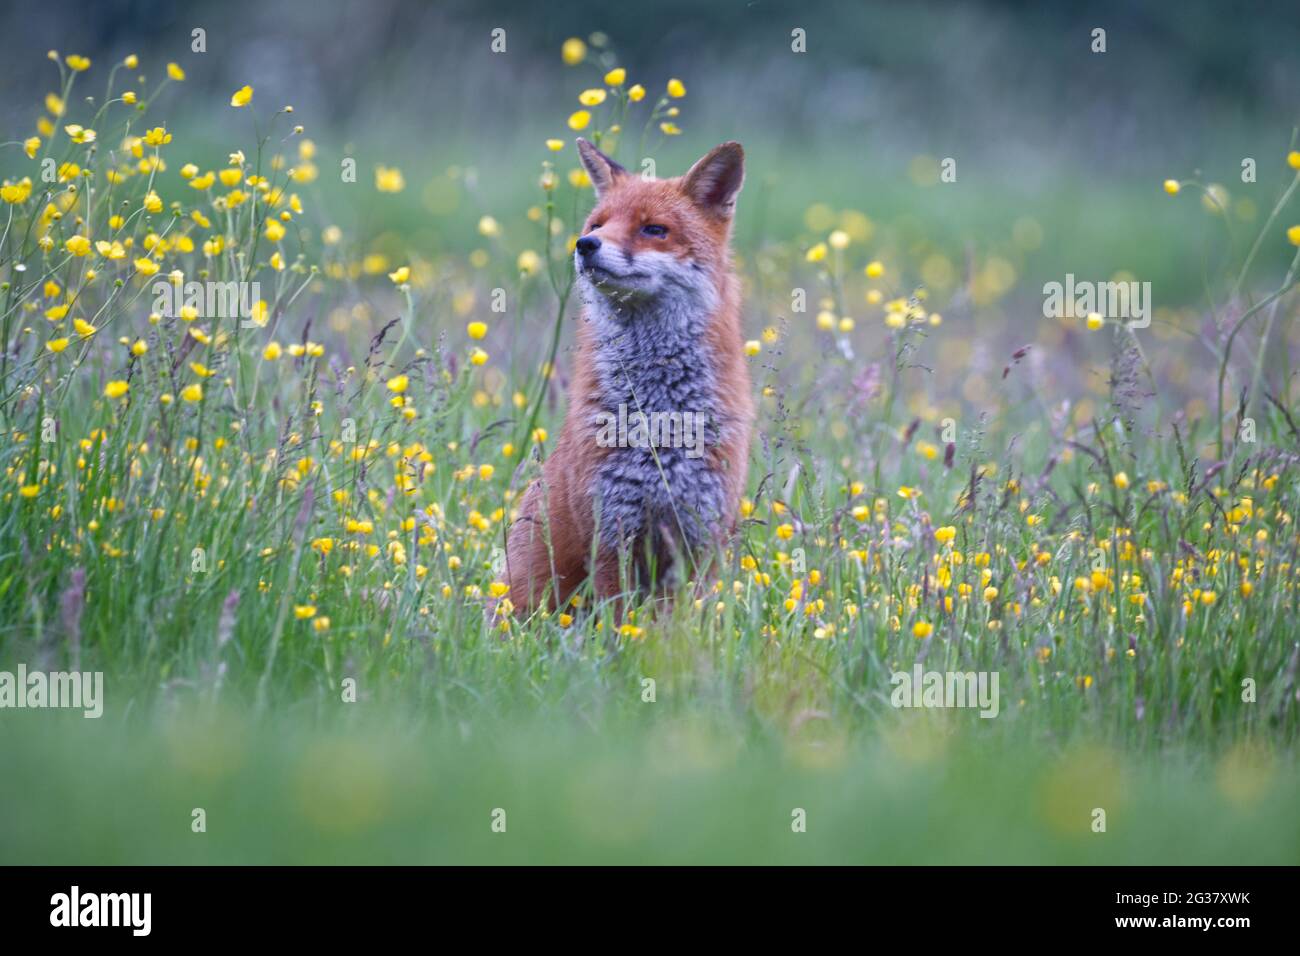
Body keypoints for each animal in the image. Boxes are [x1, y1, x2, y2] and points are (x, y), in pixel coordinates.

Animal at [502, 137, 753, 616]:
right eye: (598, 224)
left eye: (653, 229)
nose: (585, 244)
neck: (660, 422)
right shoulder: (610, 532)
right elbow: (621, 622)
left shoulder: (699, 538)